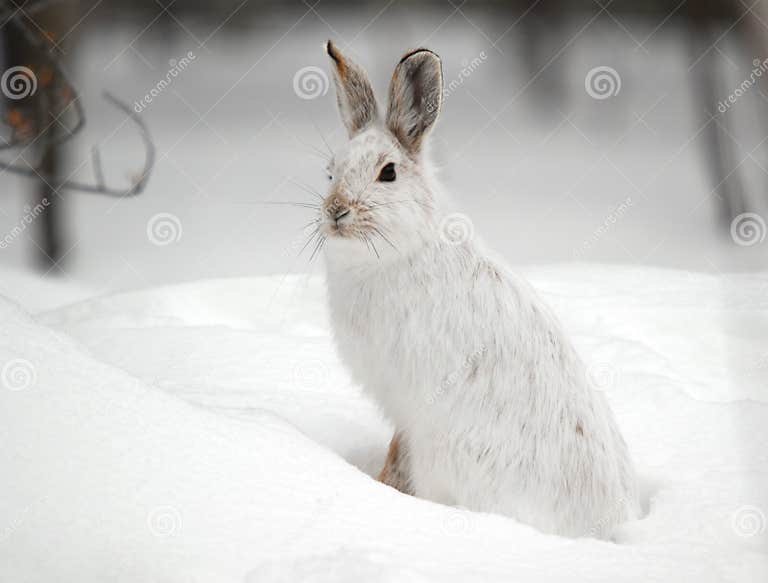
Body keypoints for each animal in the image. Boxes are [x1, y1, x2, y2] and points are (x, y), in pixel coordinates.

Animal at [317, 40, 640, 538]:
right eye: (331, 171)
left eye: (388, 173)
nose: (336, 211)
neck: (400, 249)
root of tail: (611, 529)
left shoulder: (409, 405)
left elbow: (397, 450)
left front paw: (385, 484)